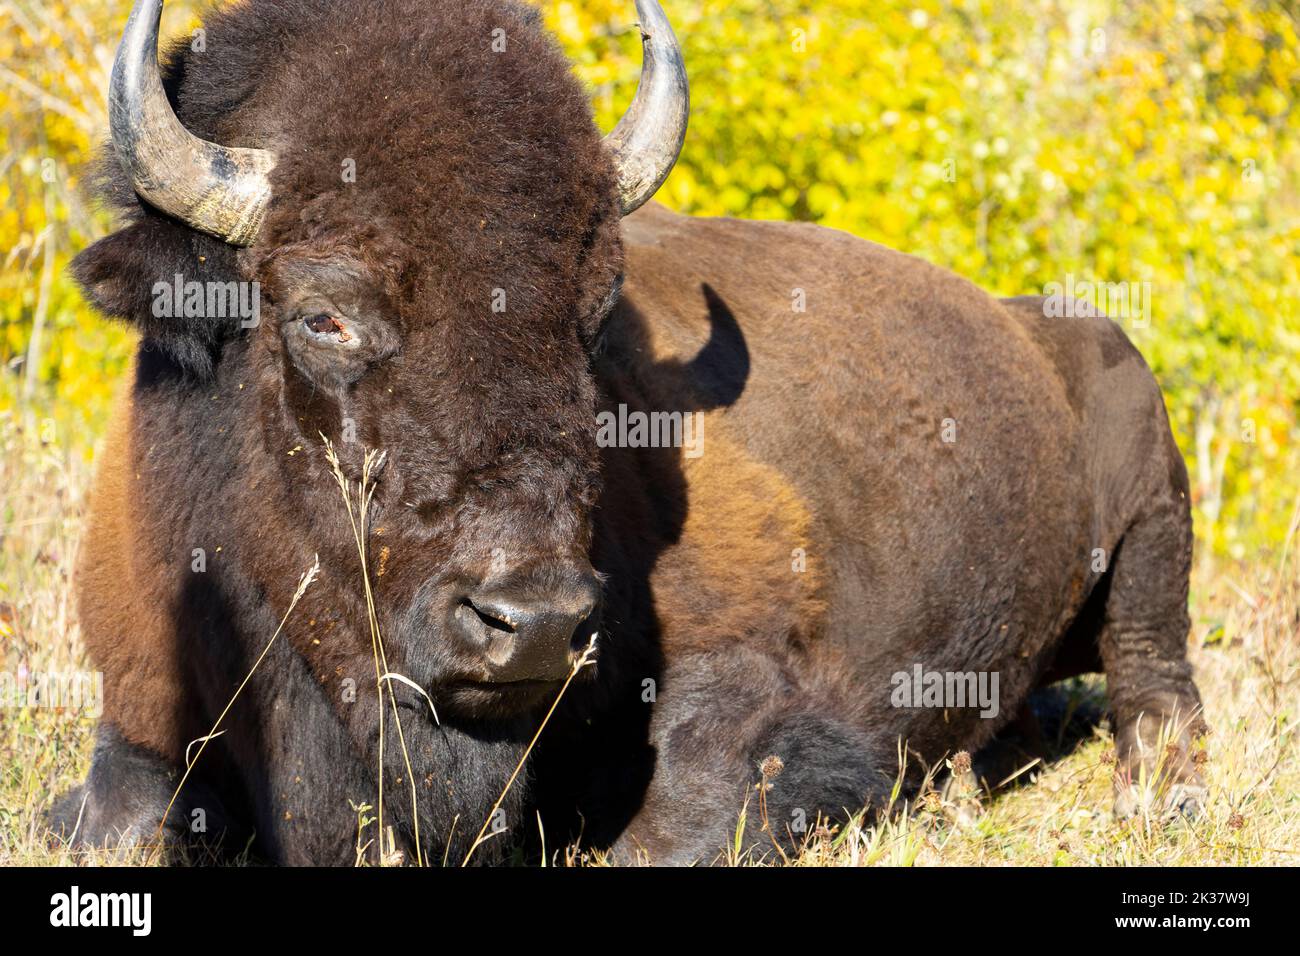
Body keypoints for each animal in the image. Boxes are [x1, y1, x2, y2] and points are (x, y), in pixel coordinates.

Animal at [54, 0, 1205, 865]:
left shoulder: (767, 695)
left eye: (592, 309)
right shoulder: (142, 705)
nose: (534, 622)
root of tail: (1046, 321)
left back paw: (1158, 795)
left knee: (1157, 681)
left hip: (1153, 511)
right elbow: (118, 819)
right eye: (321, 313)